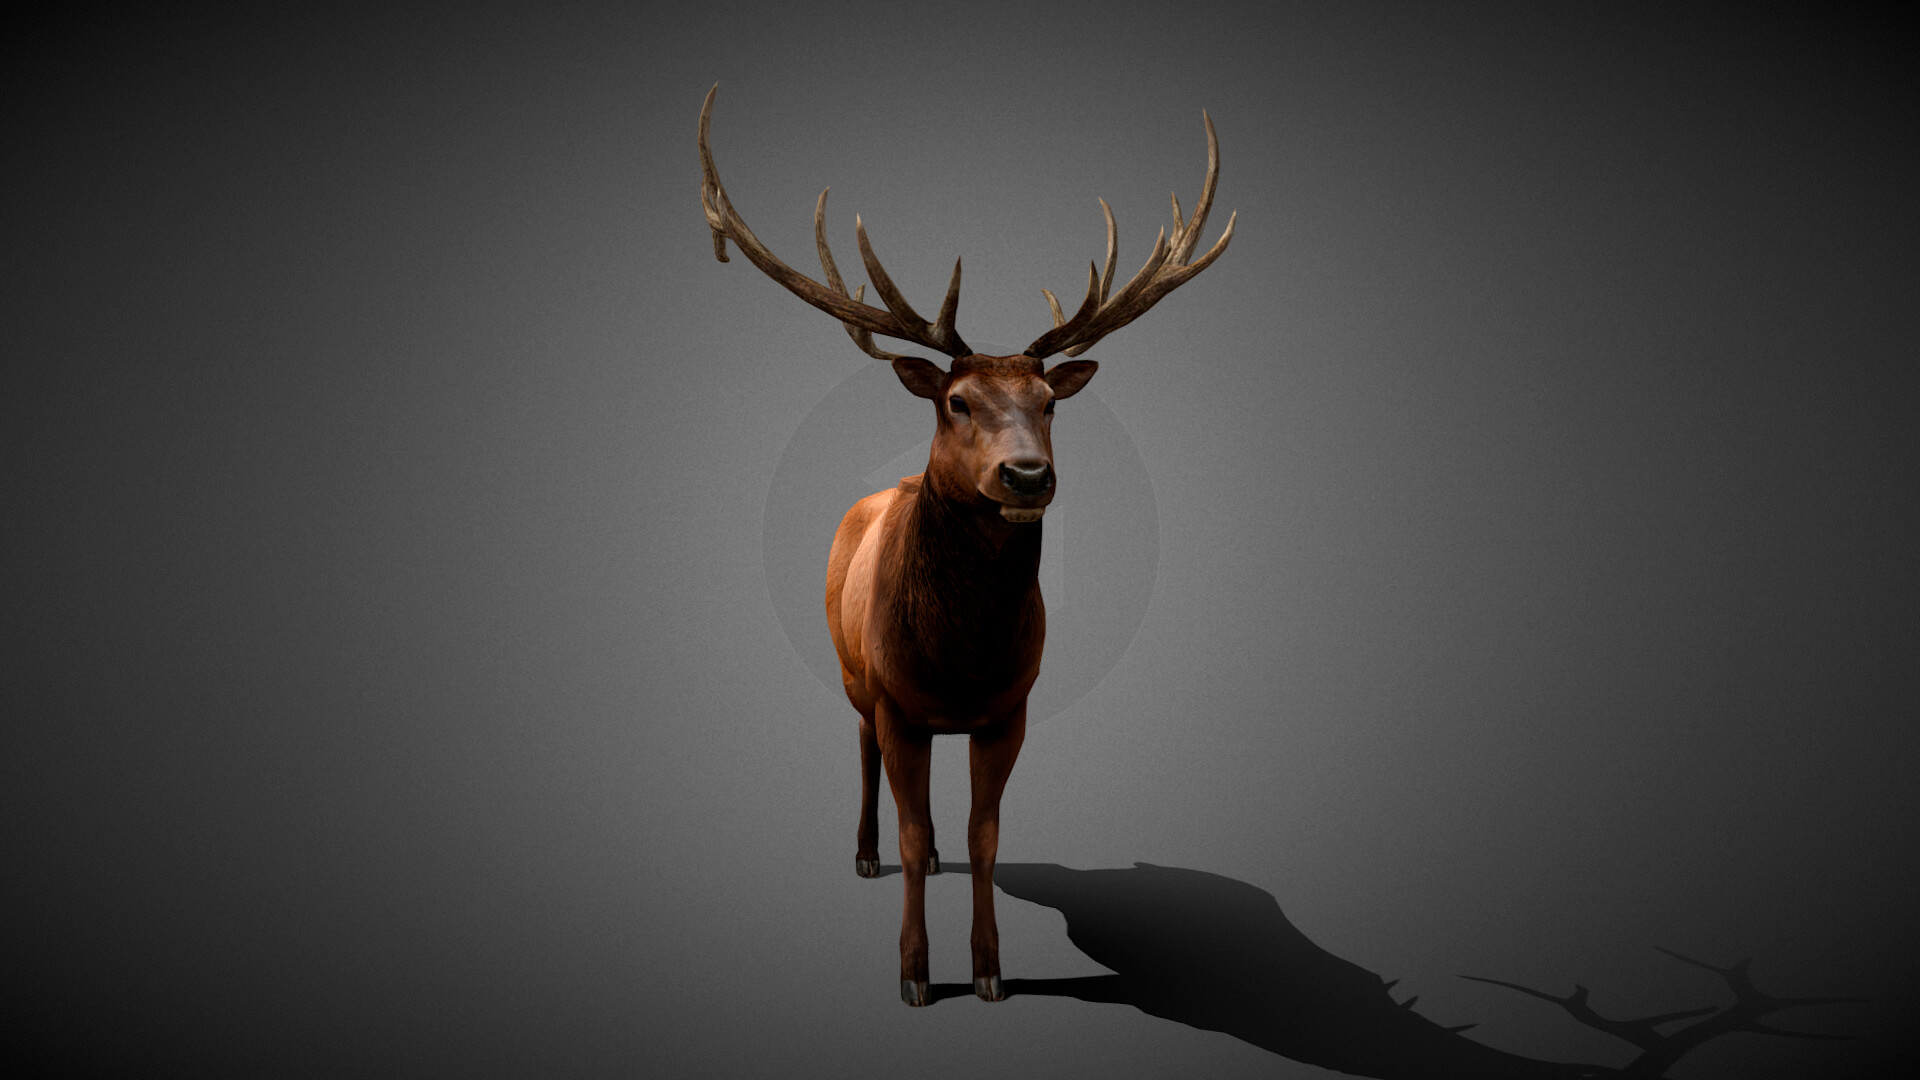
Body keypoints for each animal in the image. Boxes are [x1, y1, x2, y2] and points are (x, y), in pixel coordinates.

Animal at [697, 84, 1236, 1006]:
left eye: (1050, 403)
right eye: (957, 401)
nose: (1026, 476)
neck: (963, 657)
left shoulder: (1011, 709)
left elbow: (987, 838)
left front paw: (988, 970)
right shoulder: (896, 701)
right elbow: (912, 837)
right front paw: (914, 973)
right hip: (855, 677)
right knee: (865, 755)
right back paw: (864, 852)